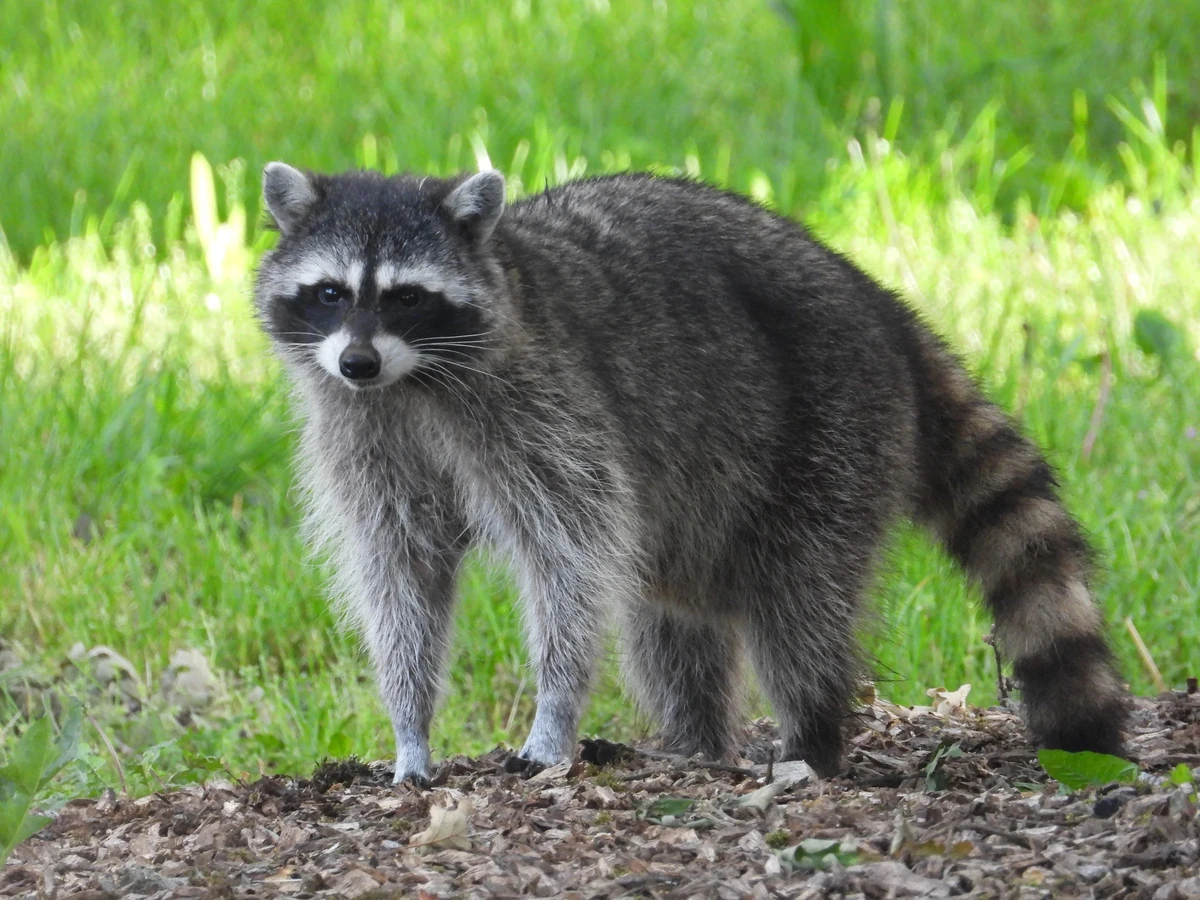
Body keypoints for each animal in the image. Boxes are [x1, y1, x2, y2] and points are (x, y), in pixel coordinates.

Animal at [254, 163, 1130, 784]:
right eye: (330, 292)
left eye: (405, 297)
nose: (358, 361)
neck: (411, 383)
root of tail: (879, 303)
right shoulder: (365, 435)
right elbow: (403, 573)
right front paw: (409, 725)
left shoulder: (542, 406)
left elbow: (571, 559)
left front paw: (553, 713)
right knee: (672, 626)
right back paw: (700, 743)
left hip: (834, 426)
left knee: (797, 603)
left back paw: (812, 738)